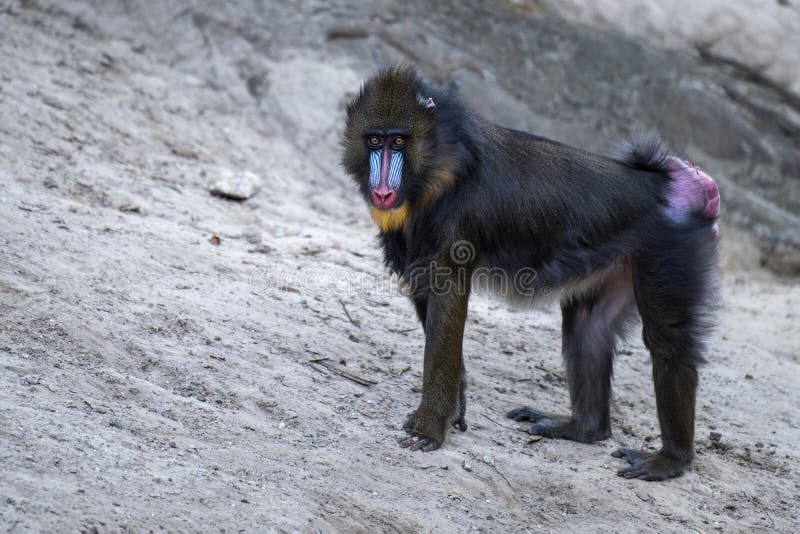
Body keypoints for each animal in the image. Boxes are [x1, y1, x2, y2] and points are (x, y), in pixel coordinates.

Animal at [341, 67, 719, 481]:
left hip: (667, 255)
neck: (437, 166)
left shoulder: (454, 239)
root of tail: (664, 184)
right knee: (588, 327)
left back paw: (671, 459)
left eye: (398, 141)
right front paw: (456, 409)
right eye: (374, 141)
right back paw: (581, 428)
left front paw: (429, 428)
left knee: (669, 342)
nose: (382, 191)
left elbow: (447, 313)